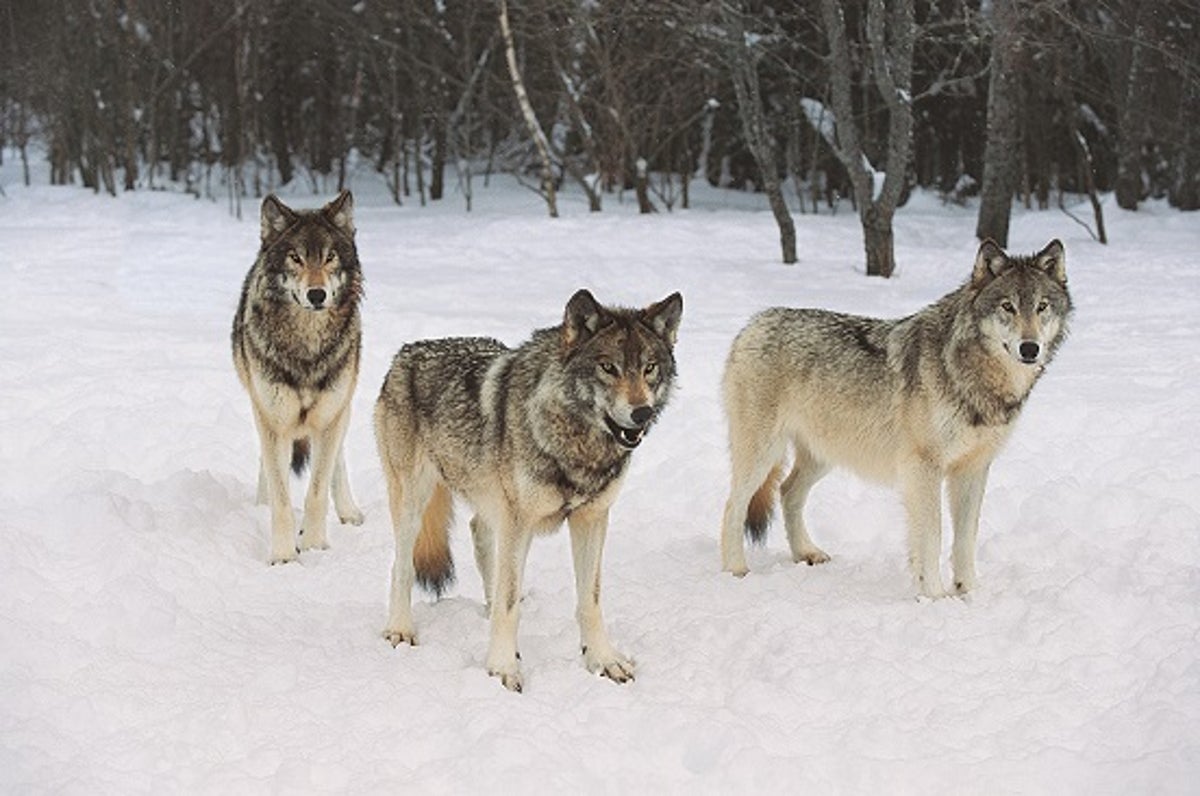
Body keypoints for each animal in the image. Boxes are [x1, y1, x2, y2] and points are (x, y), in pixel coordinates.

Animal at [231, 190, 365, 564]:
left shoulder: (330, 416)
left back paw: (348, 511)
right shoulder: (272, 418)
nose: (316, 294)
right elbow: (282, 498)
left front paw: (315, 546)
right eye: (295, 258)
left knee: (337, 460)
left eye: (330, 257)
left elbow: (317, 491)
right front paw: (284, 557)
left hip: (341, 407)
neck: (306, 345)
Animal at [374, 289, 683, 691]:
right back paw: (400, 629)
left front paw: (602, 660)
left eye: (649, 368)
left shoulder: (591, 519)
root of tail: (406, 352)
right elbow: (509, 608)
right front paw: (503, 668)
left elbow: (590, 600)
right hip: (415, 503)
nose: (642, 413)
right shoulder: (519, 522)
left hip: (491, 503)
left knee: (480, 536)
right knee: (402, 564)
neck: (577, 443)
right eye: (608, 367)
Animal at [720, 239, 1072, 598]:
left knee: (787, 491)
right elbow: (932, 536)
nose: (1030, 348)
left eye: (1042, 307)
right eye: (1007, 306)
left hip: (825, 455)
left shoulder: (973, 468)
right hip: (764, 454)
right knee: (733, 506)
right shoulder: (923, 468)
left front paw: (969, 592)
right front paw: (935, 596)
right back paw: (736, 571)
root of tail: (754, 323)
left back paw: (806, 553)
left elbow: (965, 539)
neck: (971, 373)